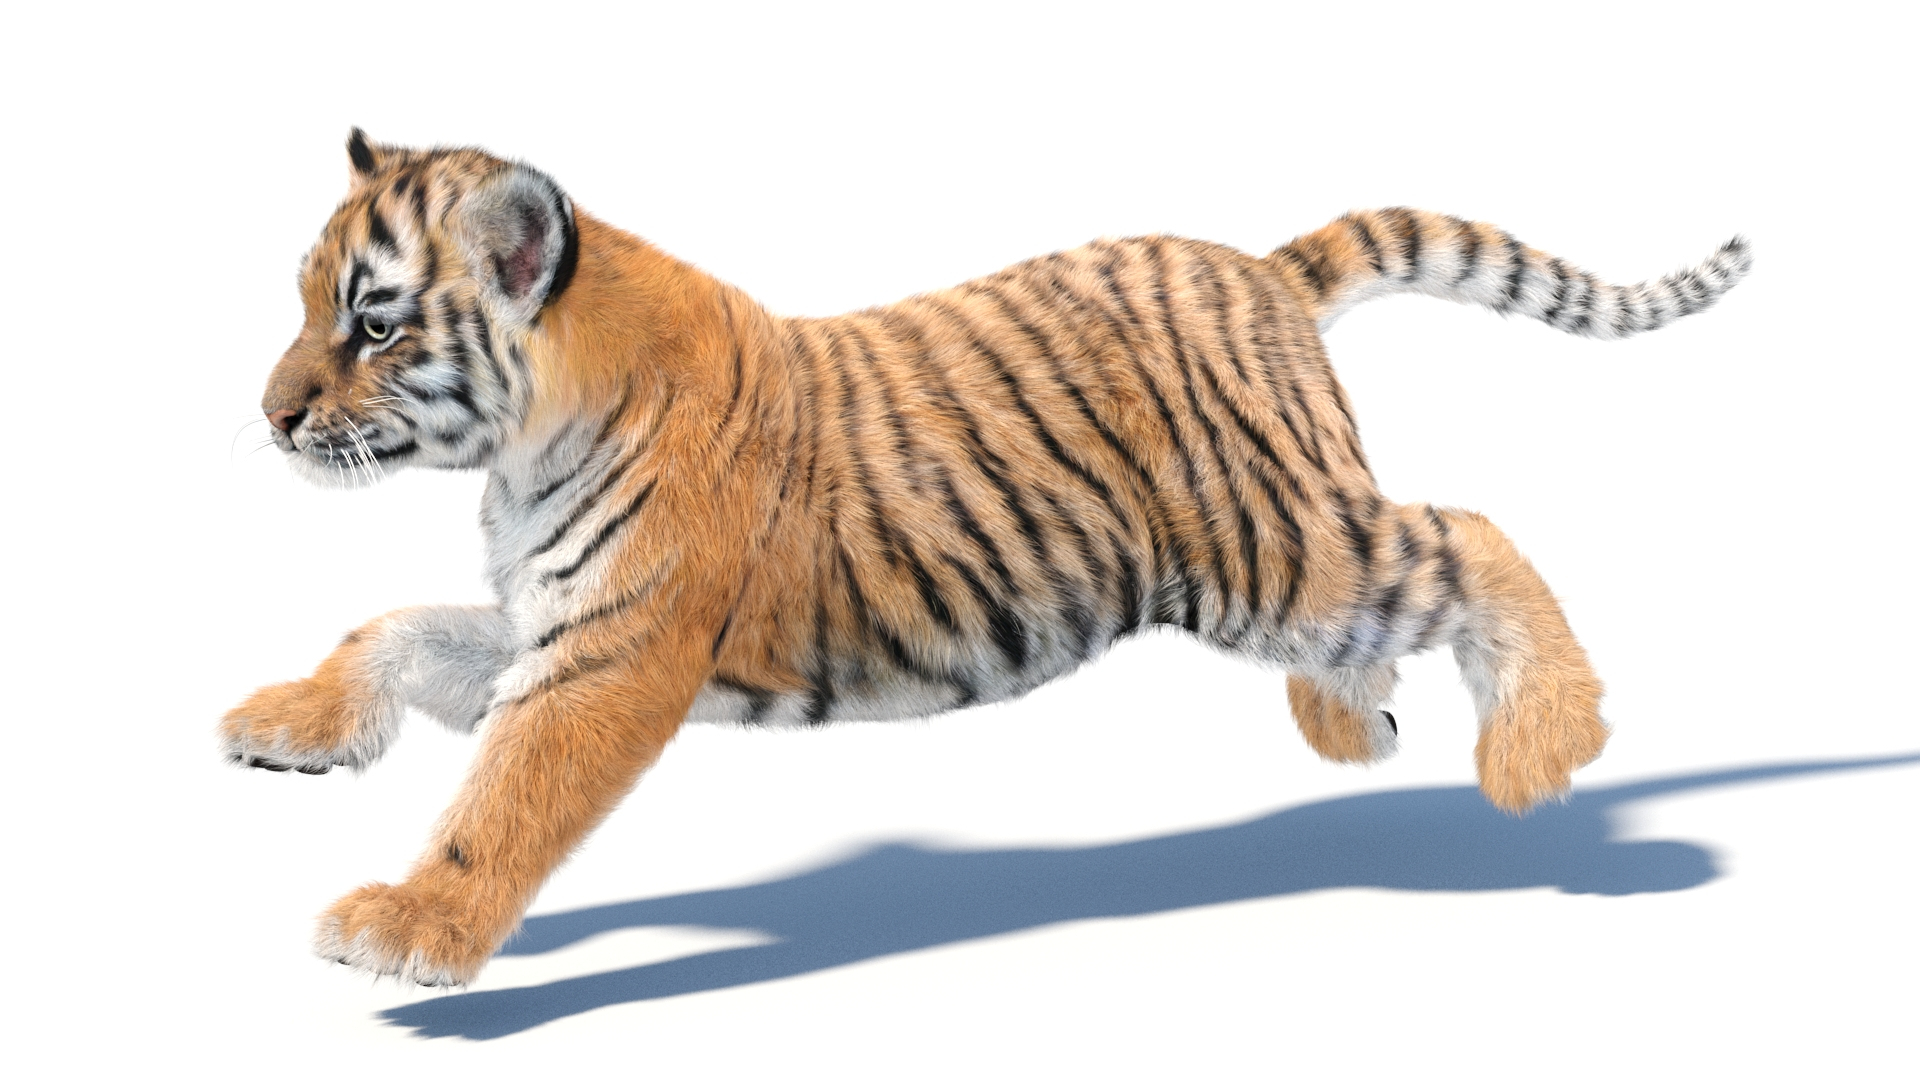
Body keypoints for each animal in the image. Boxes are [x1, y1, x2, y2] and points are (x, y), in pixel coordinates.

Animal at [222, 129, 1751, 987]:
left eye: (372, 325)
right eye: (306, 304)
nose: (270, 415)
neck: (523, 442)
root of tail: (1257, 267)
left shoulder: (610, 656)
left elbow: (505, 802)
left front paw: (408, 927)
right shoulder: (551, 622)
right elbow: (392, 631)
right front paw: (285, 725)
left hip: (1273, 556)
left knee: (1470, 536)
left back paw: (1543, 745)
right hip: (1291, 556)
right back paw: (1353, 725)